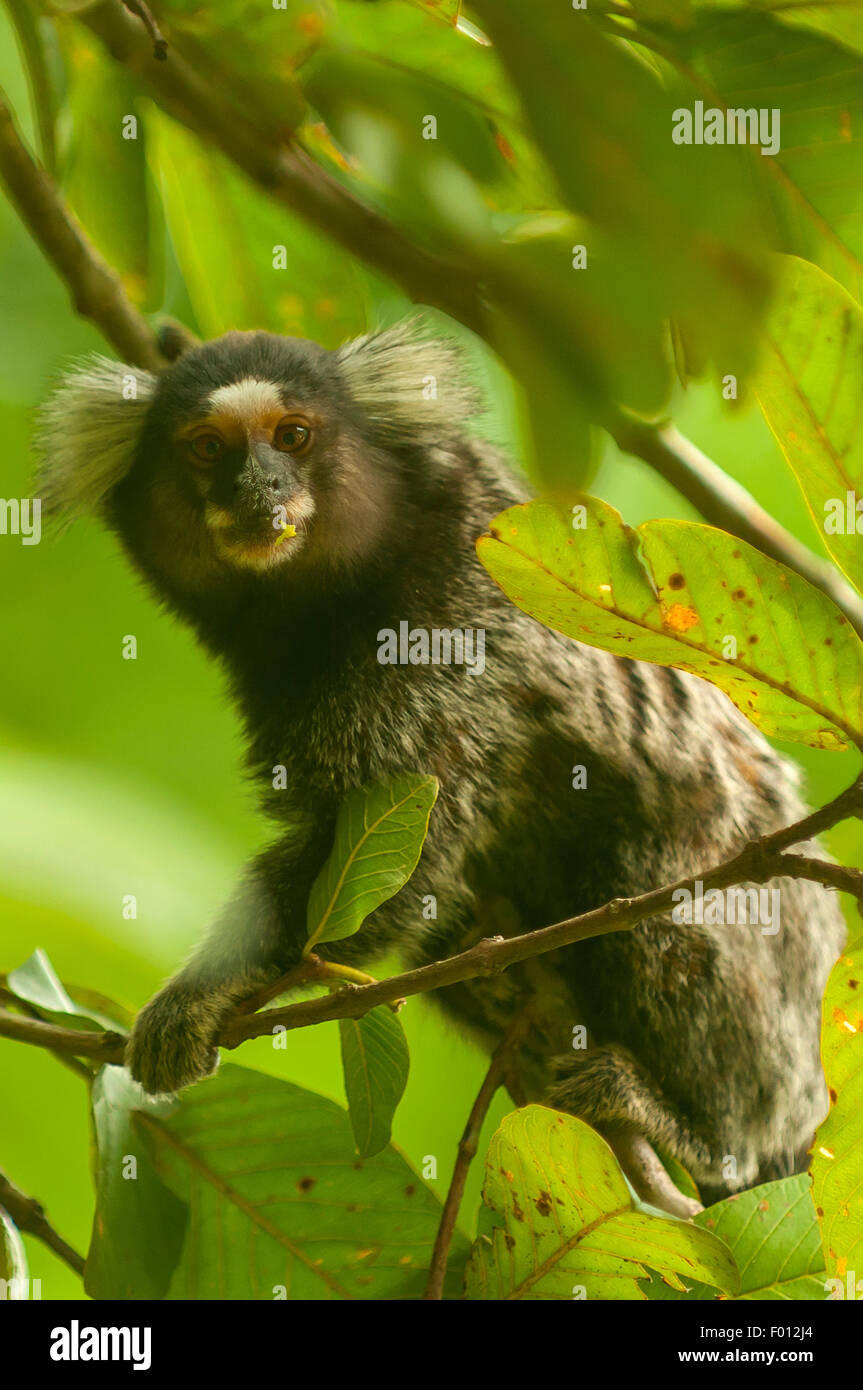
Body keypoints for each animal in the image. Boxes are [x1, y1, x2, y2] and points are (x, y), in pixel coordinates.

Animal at [35, 321, 845, 1216]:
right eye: (207, 448)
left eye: (293, 436)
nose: (257, 487)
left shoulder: (450, 630)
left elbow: (402, 857)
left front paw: (195, 999)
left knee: (663, 912)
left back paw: (697, 1129)